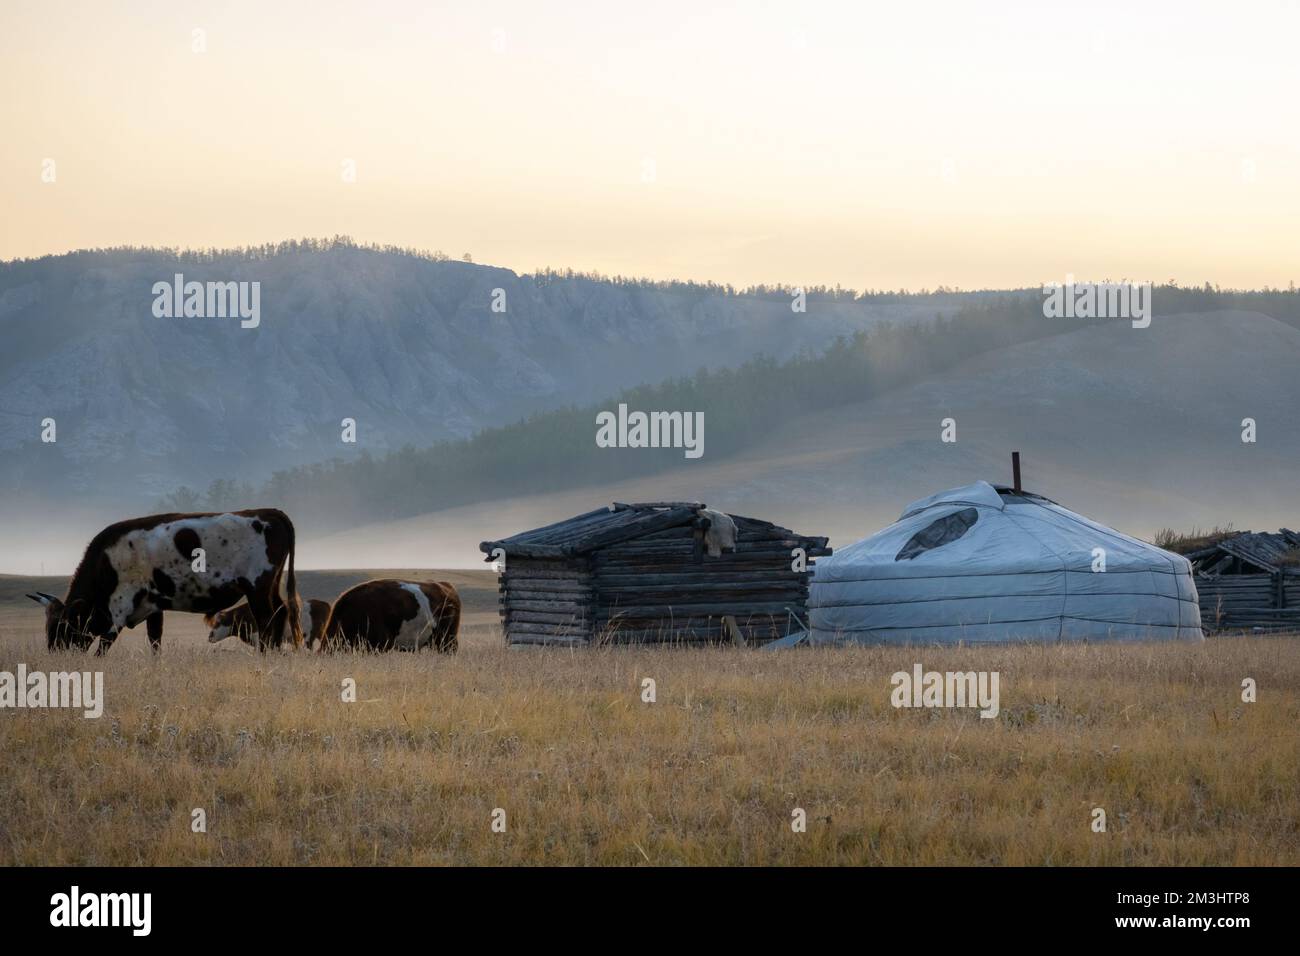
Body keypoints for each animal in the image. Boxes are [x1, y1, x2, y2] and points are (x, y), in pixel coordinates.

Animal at [27, 509, 302, 654]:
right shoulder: (153, 606)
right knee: (281, 612)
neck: (105, 564)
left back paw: (265, 654)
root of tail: (268, 512)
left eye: (62, 626)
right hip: (270, 586)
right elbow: (155, 640)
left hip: (257, 587)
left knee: (266, 619)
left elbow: (103, 646)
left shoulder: (118, 610)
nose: (55, 653)